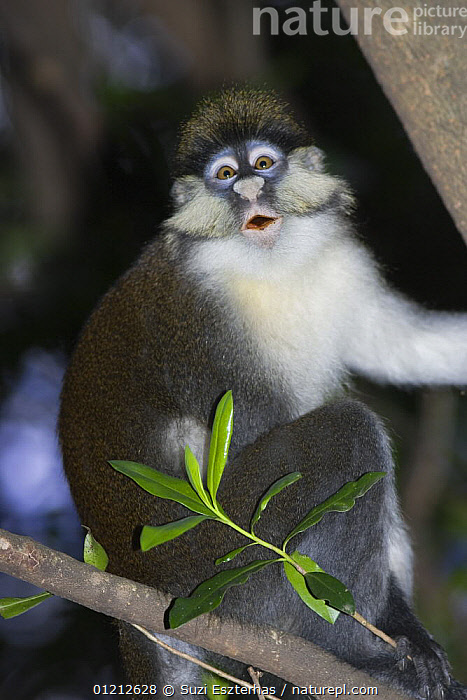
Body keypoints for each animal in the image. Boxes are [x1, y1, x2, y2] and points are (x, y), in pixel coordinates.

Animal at [59, 87, 467, 700]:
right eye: (225, 174)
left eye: (264, 163)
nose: (249, 188)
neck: (271, 267)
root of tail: (129, 584)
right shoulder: (203, 327)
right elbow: (261, 429)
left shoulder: (343, 267)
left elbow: (398, 345)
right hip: (212, 562)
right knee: (347, 431)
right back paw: (349, 651)